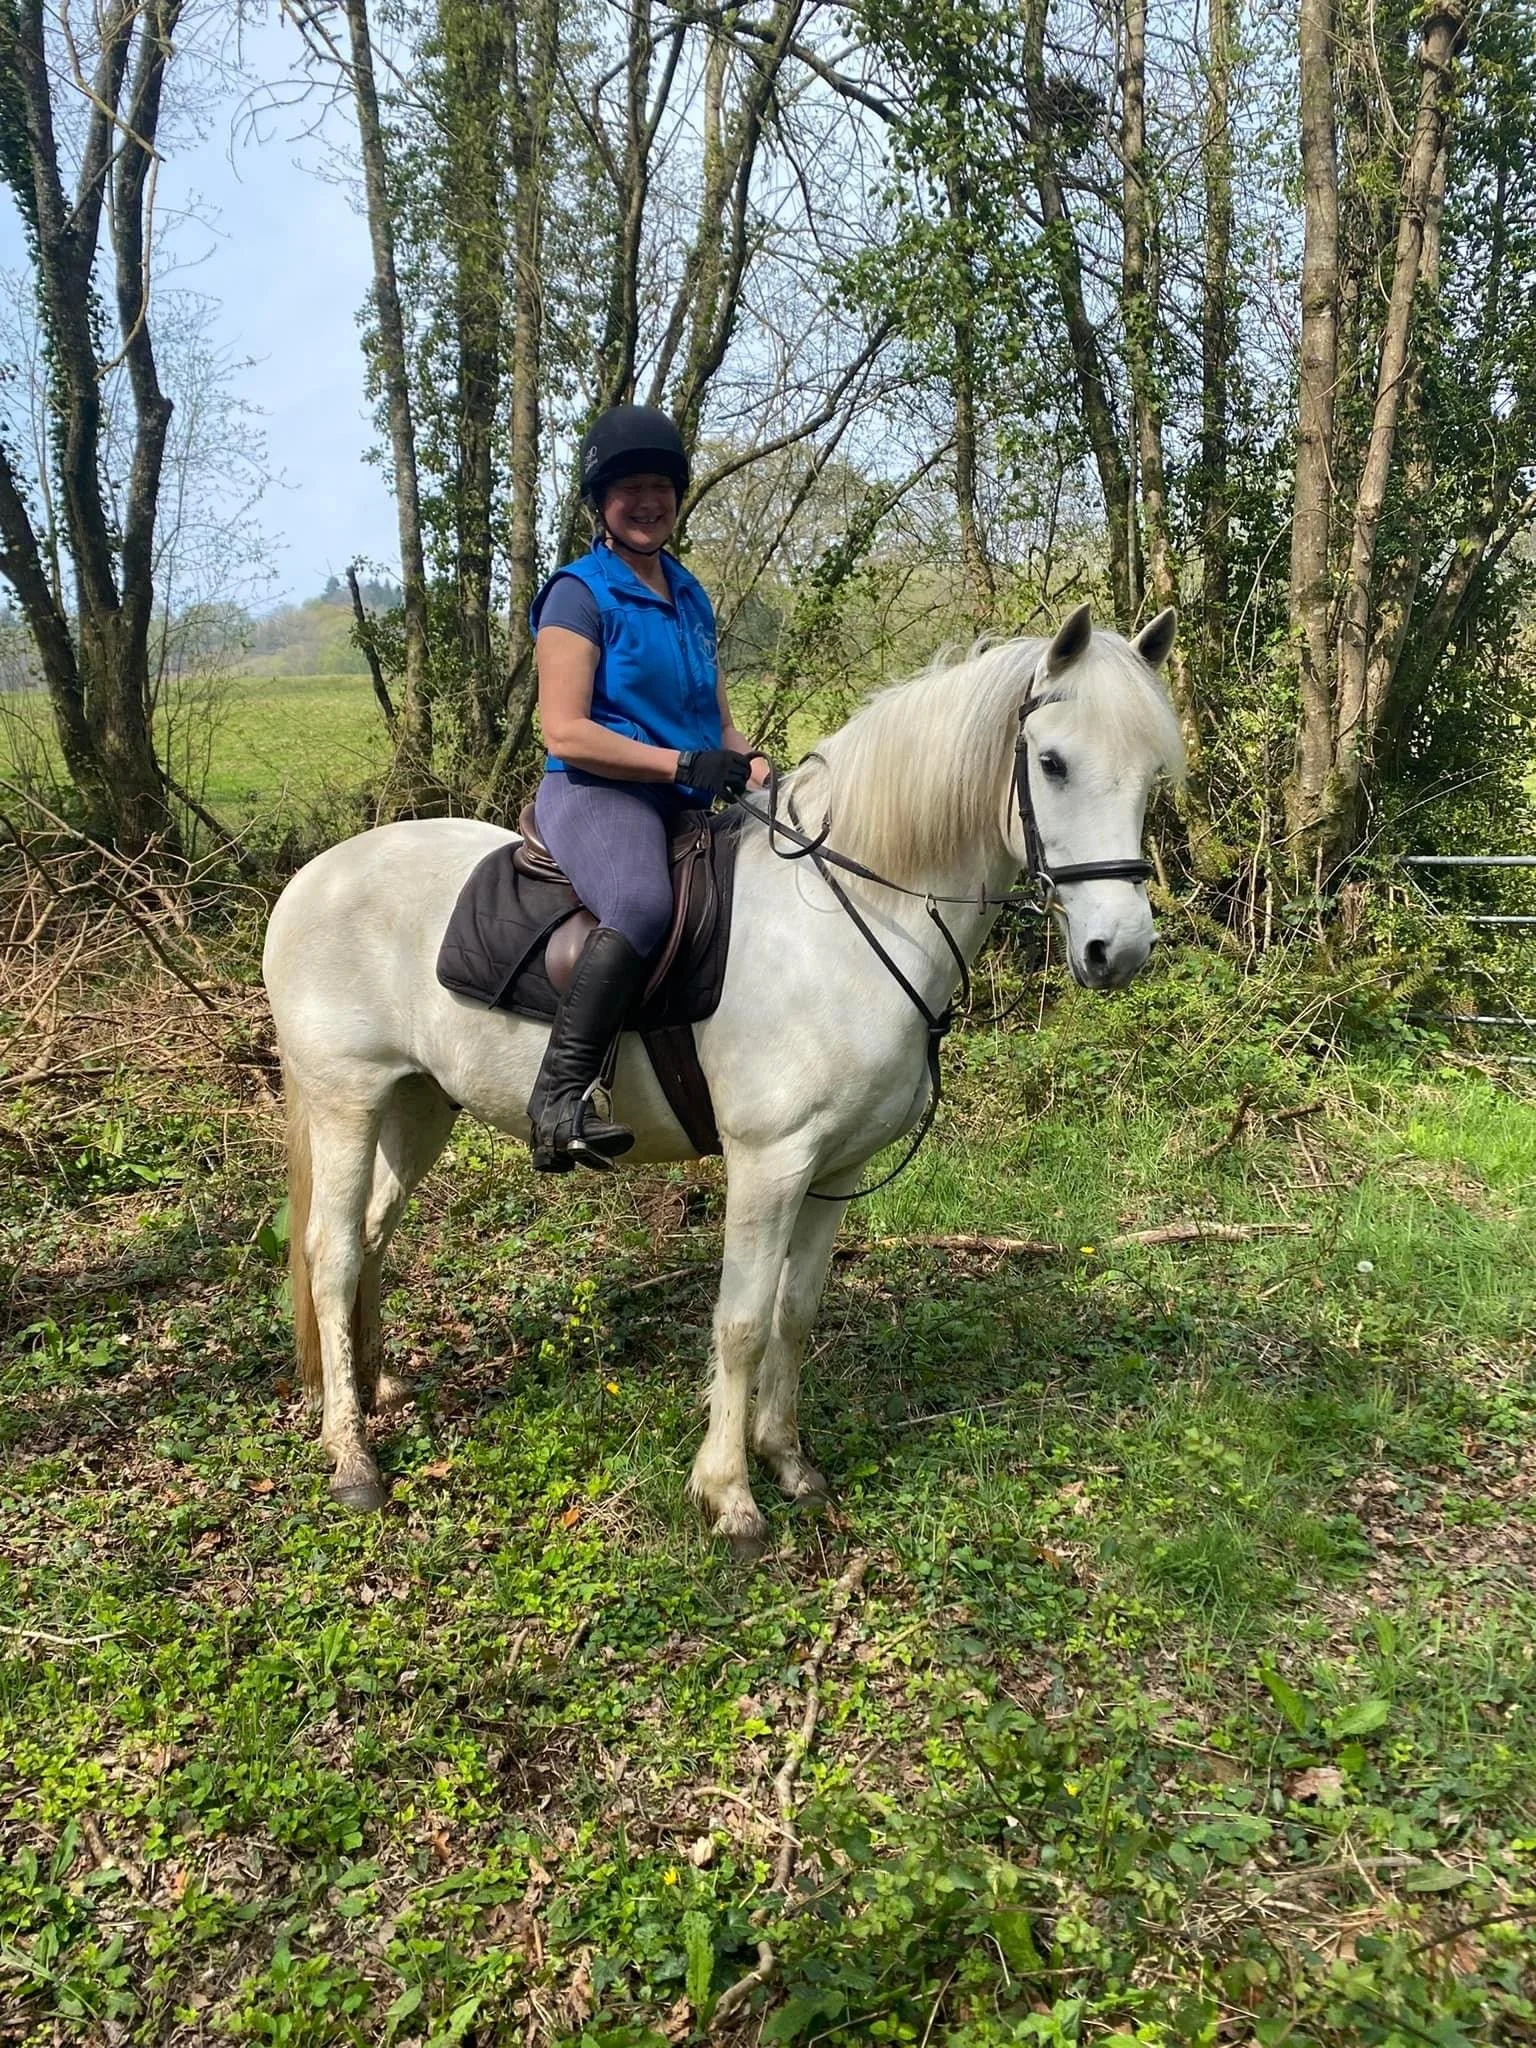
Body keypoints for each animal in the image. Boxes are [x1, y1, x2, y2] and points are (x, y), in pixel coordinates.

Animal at [261, 603, 1184, 1549]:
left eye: (1153, 772)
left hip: (418, 1104)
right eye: (1052, 762)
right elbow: (740, 1321)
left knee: (373, 1234)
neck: (853, 919)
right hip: (346, 1099)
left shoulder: (837, 1169)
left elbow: (796, 1310)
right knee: (333, 1251)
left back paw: (375, 1388)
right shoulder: (770, 1161)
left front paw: (789, 1461)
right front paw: (729, 1493)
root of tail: (315, 876)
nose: (1119, 951)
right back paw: (351, 1456)